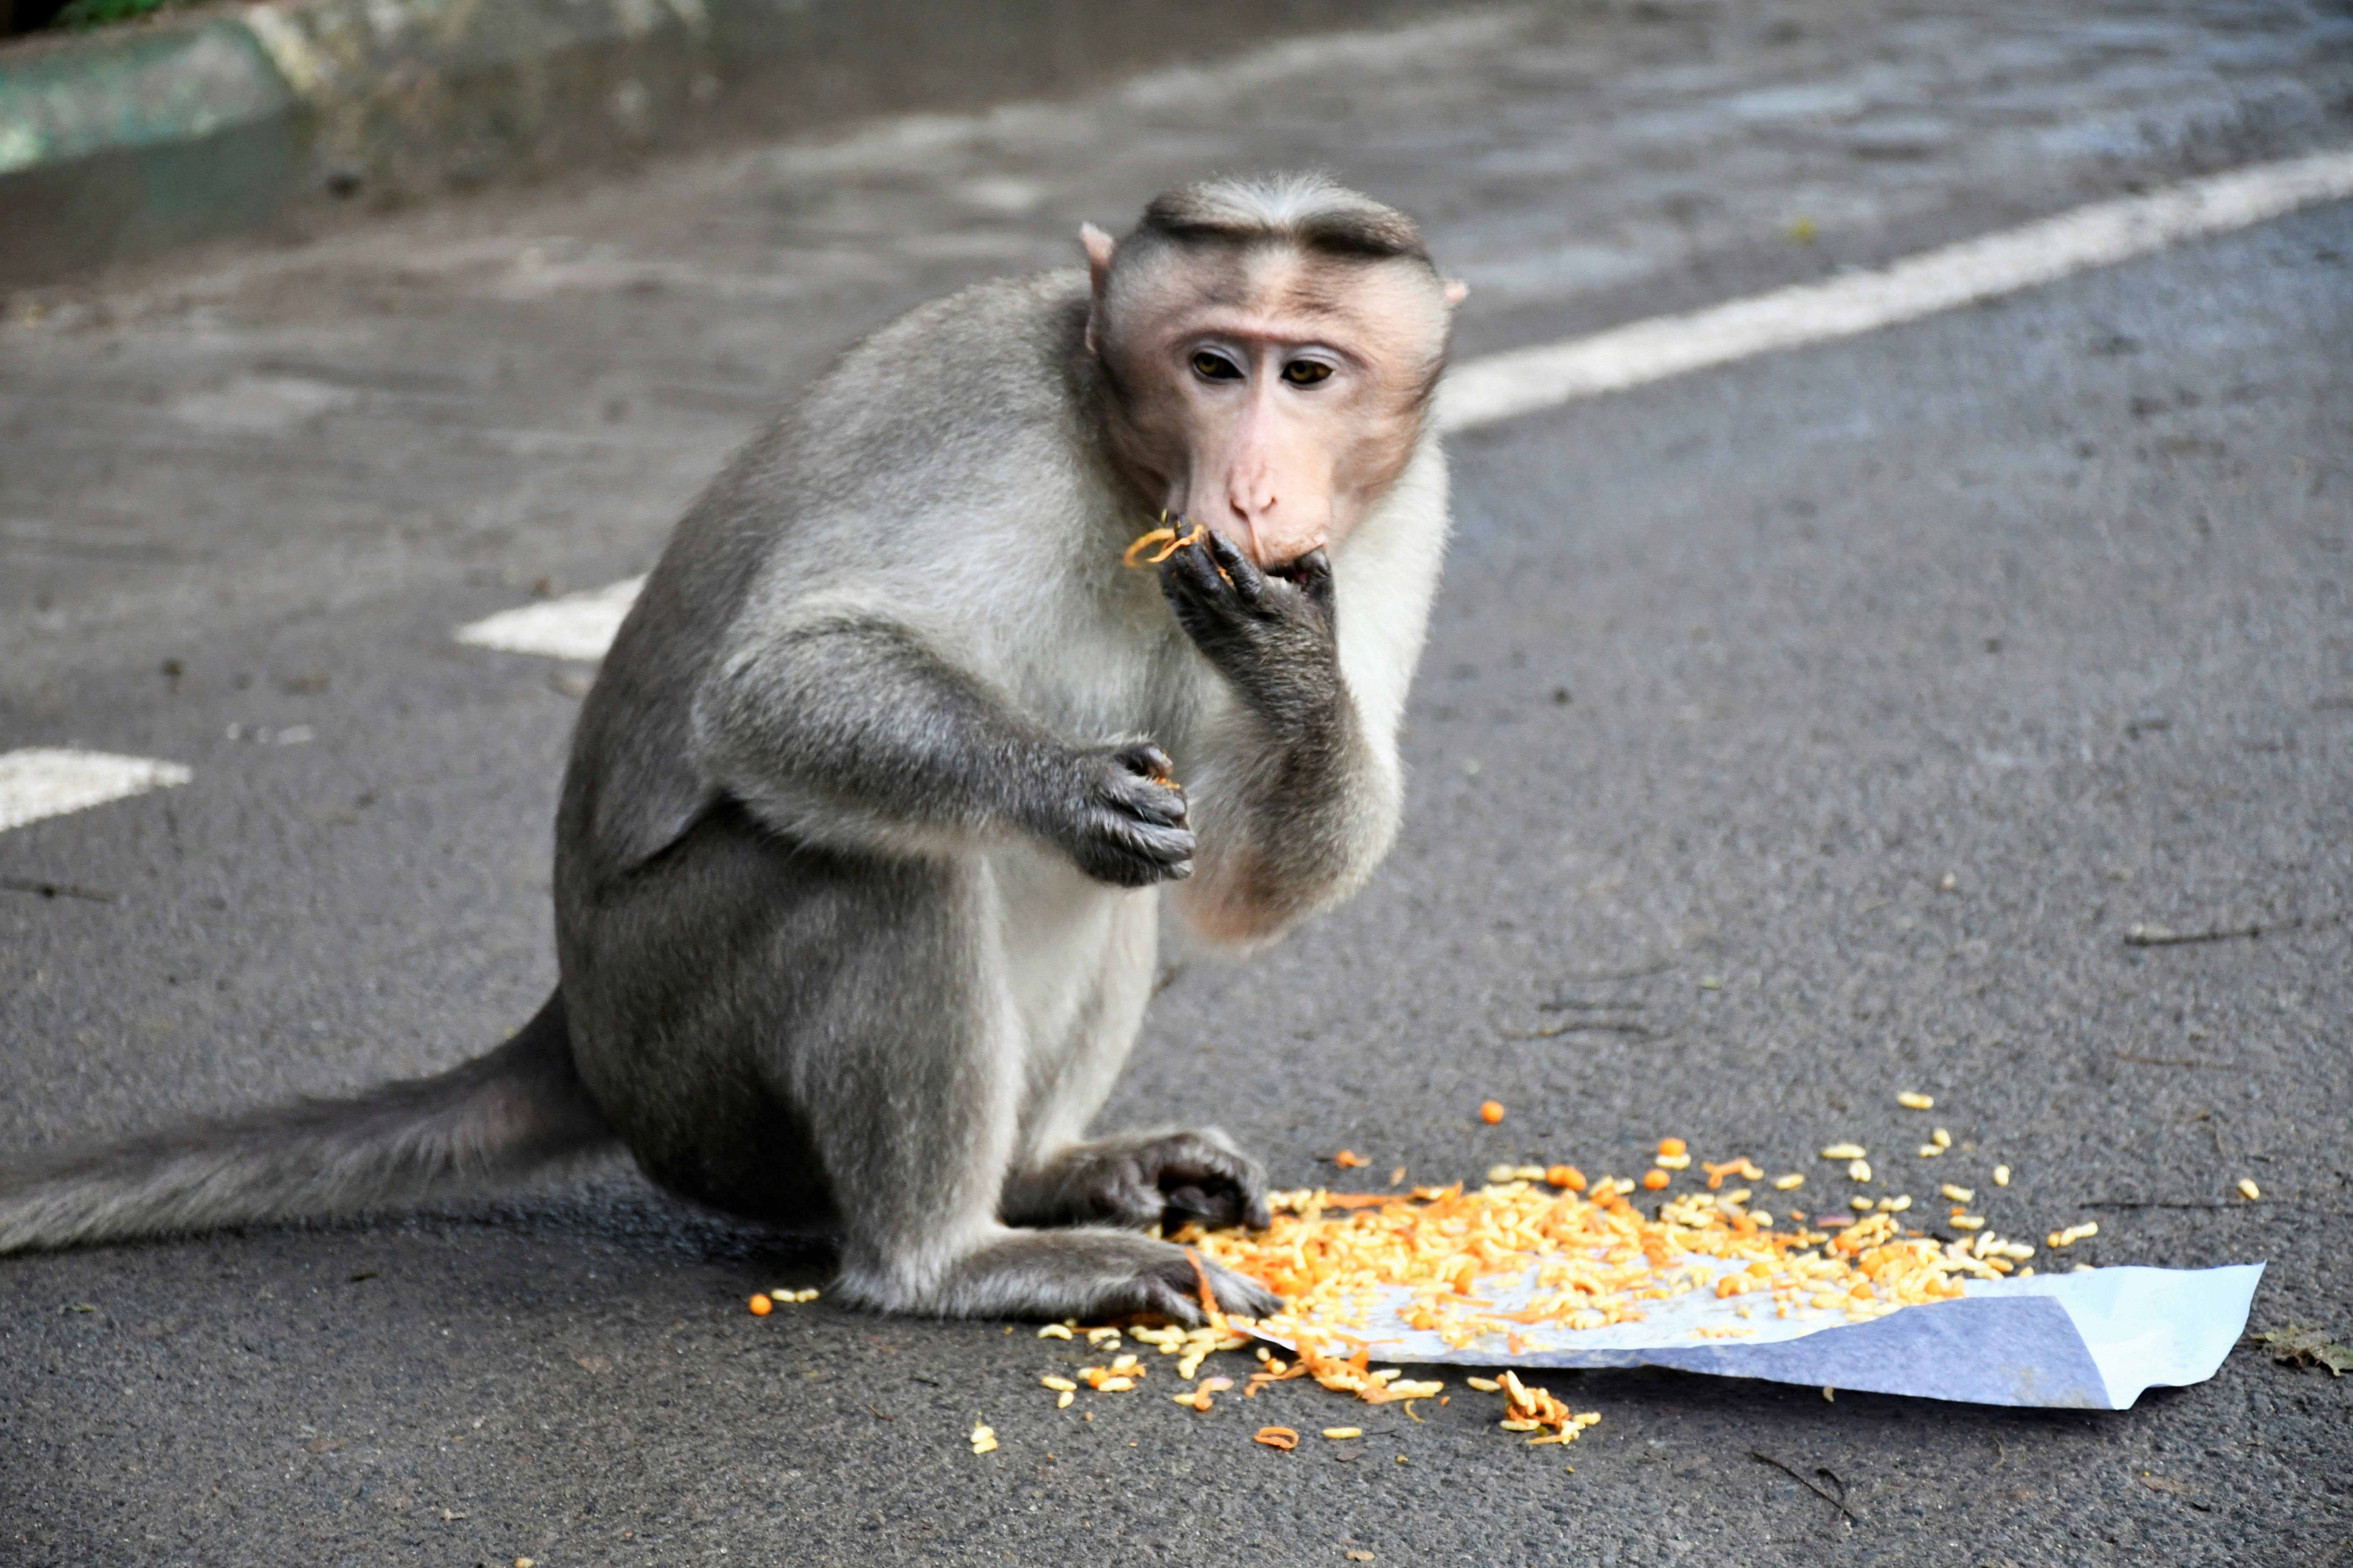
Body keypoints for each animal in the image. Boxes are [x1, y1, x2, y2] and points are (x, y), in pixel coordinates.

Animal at [0, 174, 1462, 1326]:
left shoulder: (1402, 500)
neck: (1122, 466)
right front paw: (1056, 784)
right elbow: (772, 687)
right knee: (878, 871)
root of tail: (574, 1035)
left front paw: (1288, 659)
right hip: (678, 1044)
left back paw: (1049, 1171)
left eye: (1307, 373)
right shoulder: (992, 421)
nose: (1253, 483)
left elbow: (1237, 882)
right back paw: (950, 1257)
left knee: (1111, 890)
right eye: (1215, 365)